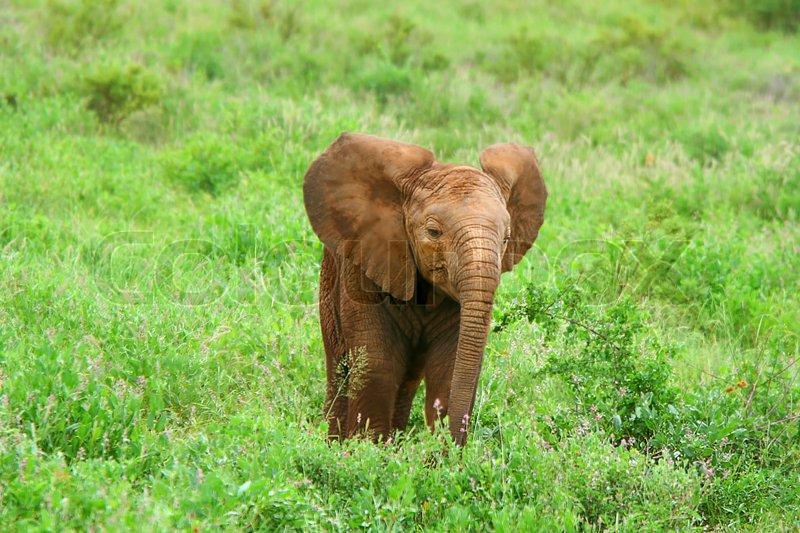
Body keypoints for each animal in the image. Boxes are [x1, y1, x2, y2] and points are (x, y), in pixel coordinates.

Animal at [303, 132, 546, 445]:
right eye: (433, 232)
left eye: (506, 239)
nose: (454, 448)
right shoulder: (363, 270)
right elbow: (377, 365)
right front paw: (367, 452)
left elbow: (450, 368)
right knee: (341, 366)